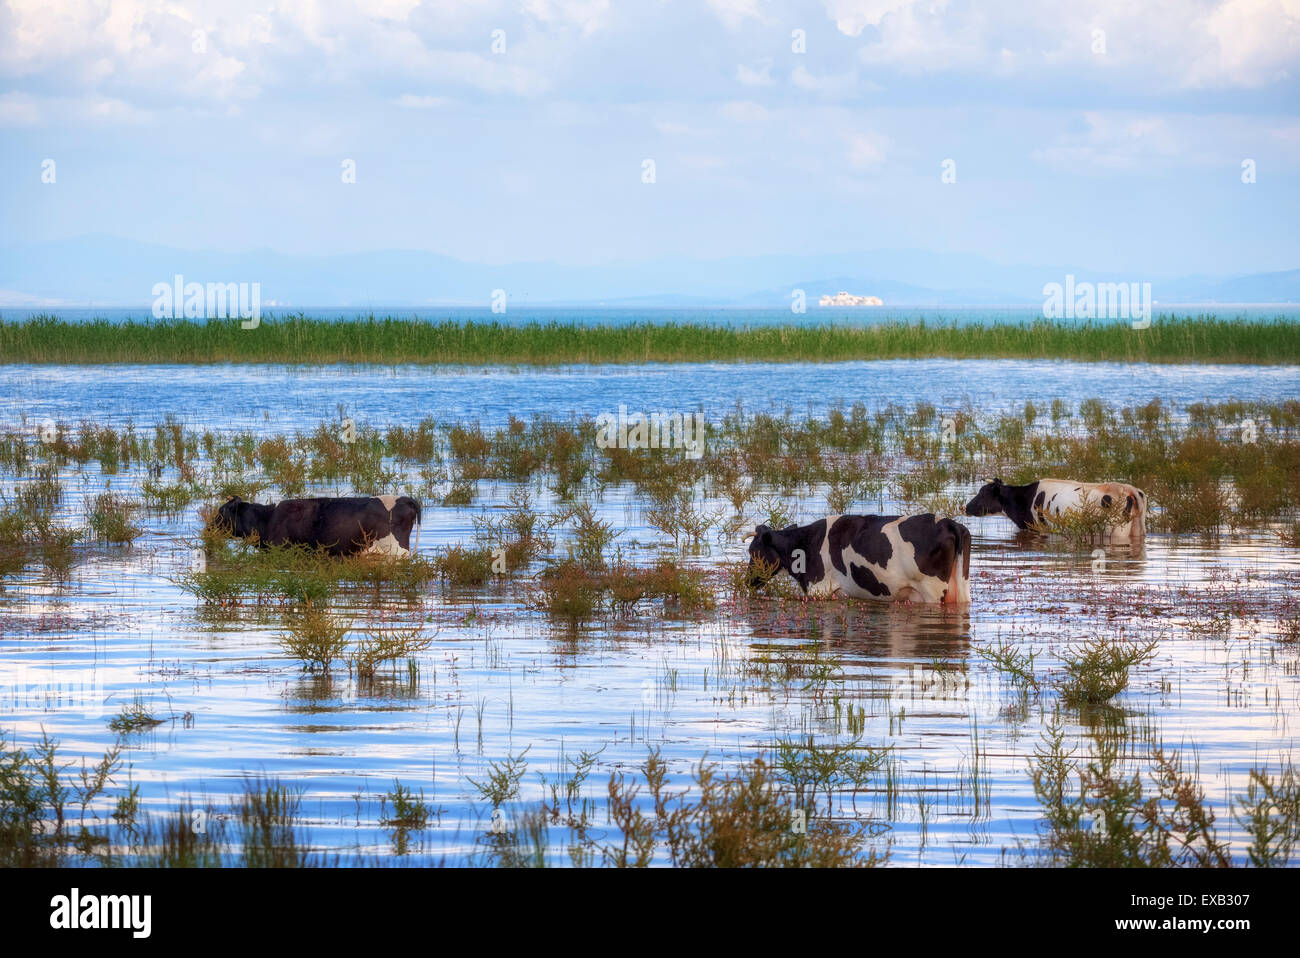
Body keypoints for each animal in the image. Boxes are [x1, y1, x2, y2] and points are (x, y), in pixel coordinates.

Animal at [745, 514, 971, 604]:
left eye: (753, 551)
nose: (747, 582)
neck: (807, 543)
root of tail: (949, 522)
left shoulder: (820, 589)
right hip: (961, 587)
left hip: (931, 590)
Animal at [964, 478, 1147, 541]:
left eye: (982, 493)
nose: (966, 507)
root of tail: (1130, 490)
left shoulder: (1036, 527)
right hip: (1138, 527)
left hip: (1116, 529)